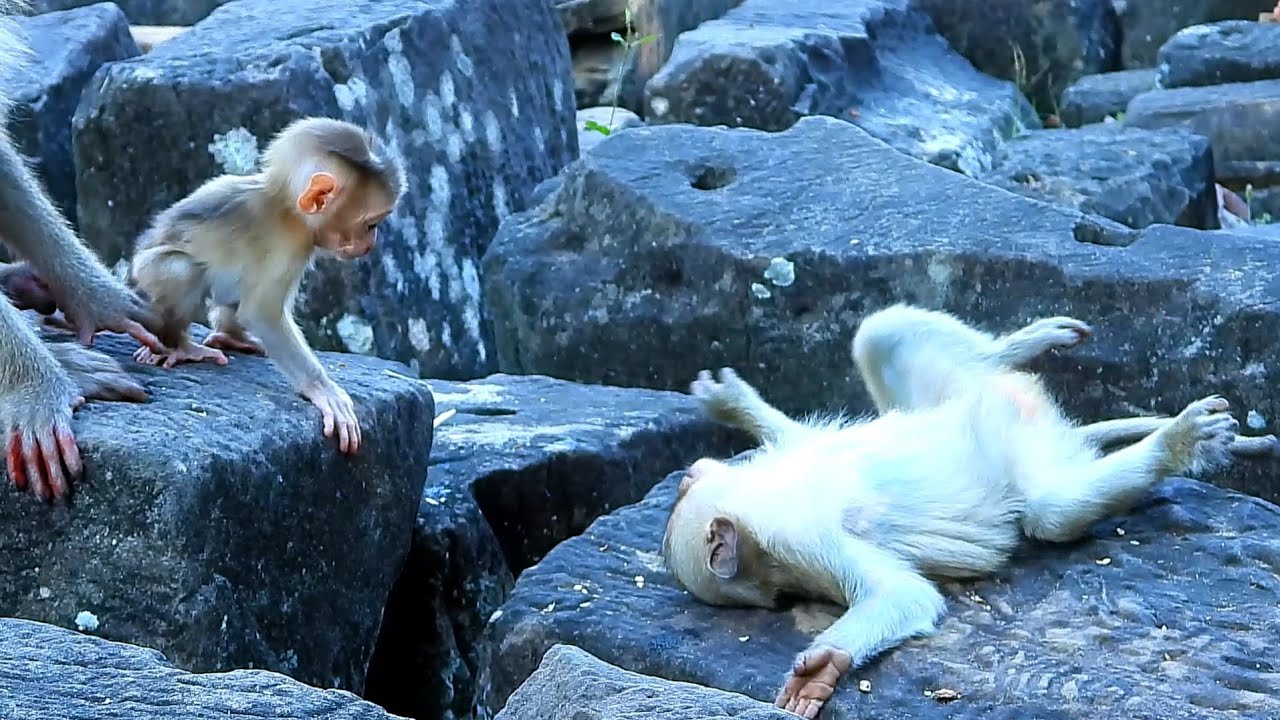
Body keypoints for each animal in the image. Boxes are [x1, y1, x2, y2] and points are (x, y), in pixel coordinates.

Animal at [128, 116, 405, 455]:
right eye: (370, 225)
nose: (370, 245)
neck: (287, 206)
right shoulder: (291, 245)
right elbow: (262, 313)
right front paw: (322, 389)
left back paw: (230, 335)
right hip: (146, 276)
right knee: (186, 271)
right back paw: (179, 346)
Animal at [661, 304, 1278, 719]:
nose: (687, 479)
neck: (760, 500)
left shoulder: (789, 510)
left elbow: (797, 435)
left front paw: (732, 403)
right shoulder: (795, 543)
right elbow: (903, 595)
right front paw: (826, 666)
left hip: (954, 397)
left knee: (878, 333)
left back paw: (1023, 346)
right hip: (1031, 459)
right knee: (1051, 511)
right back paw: (1172, 444)